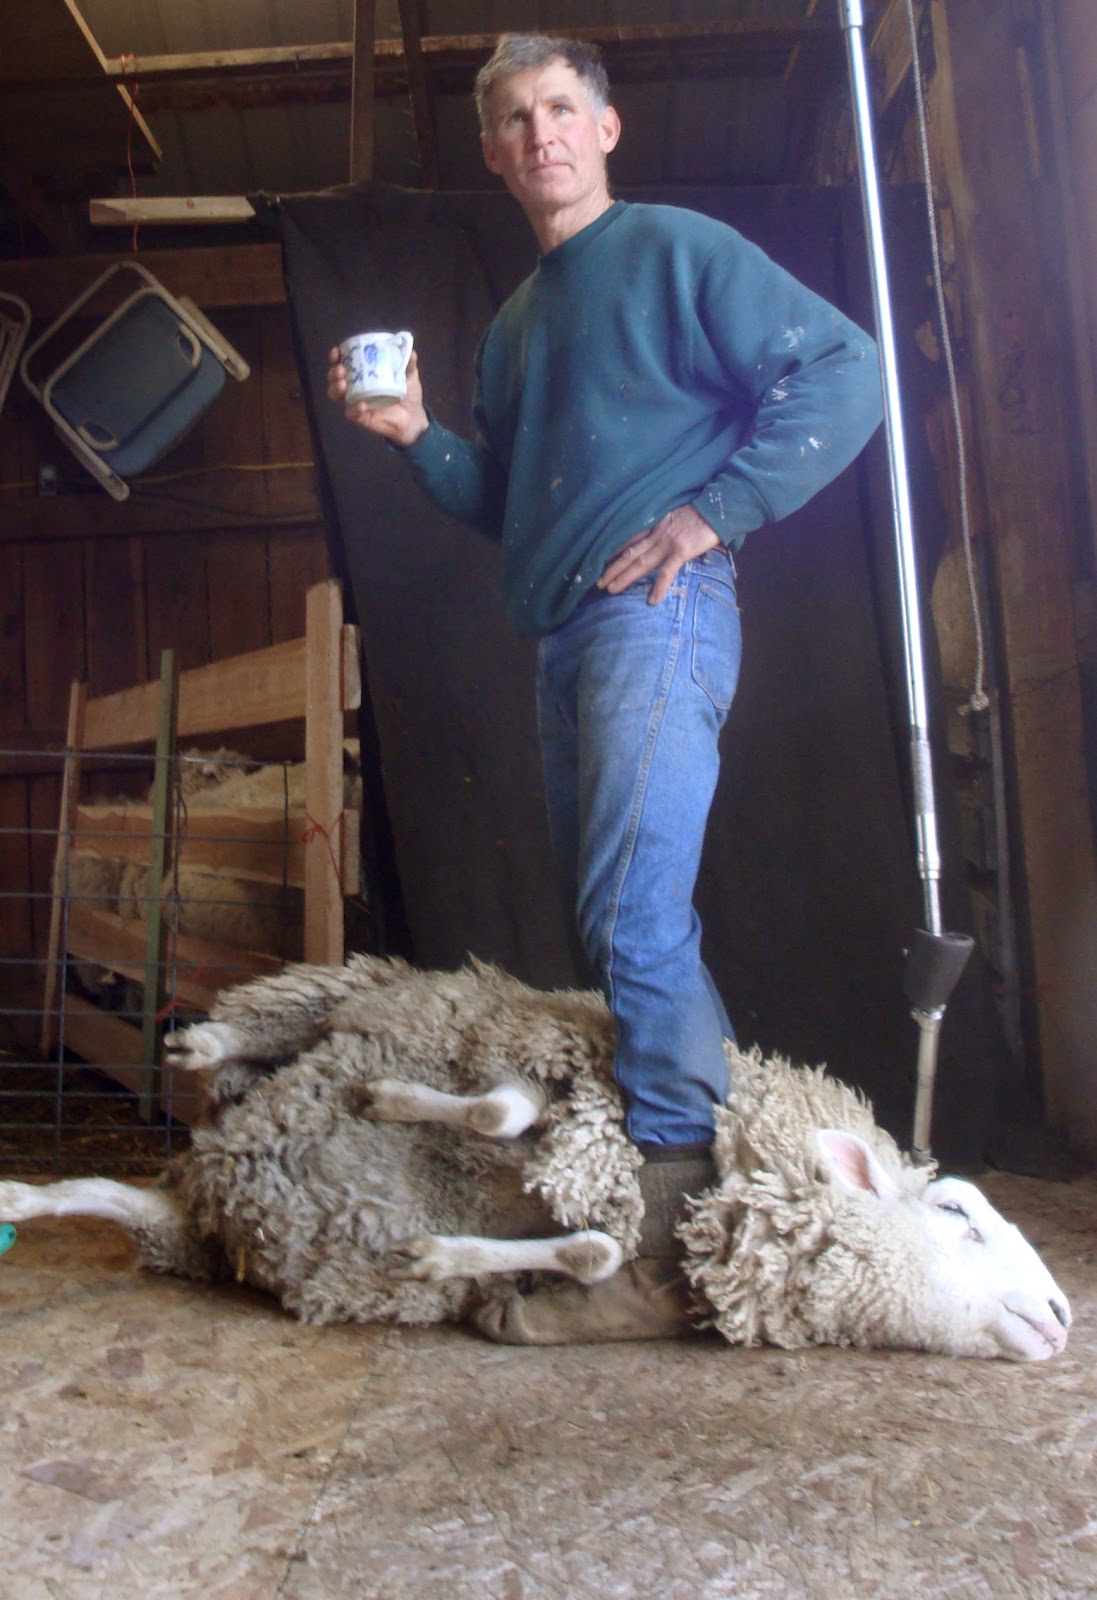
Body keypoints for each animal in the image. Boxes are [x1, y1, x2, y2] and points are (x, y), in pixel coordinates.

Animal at [0, 956, 1072, 1362]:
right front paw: (389, 1102)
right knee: (279, 1029)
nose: (1064, 1315)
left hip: (190, 1227)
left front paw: (437, 1253)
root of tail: (218, 1164)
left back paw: (16, 1196)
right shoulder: (577, 1089)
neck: (715, 1204)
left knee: (95, 1193)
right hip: (348, 990)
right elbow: (496, 1110)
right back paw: (207, 1047)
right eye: (957, 1213)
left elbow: (583, 1250)